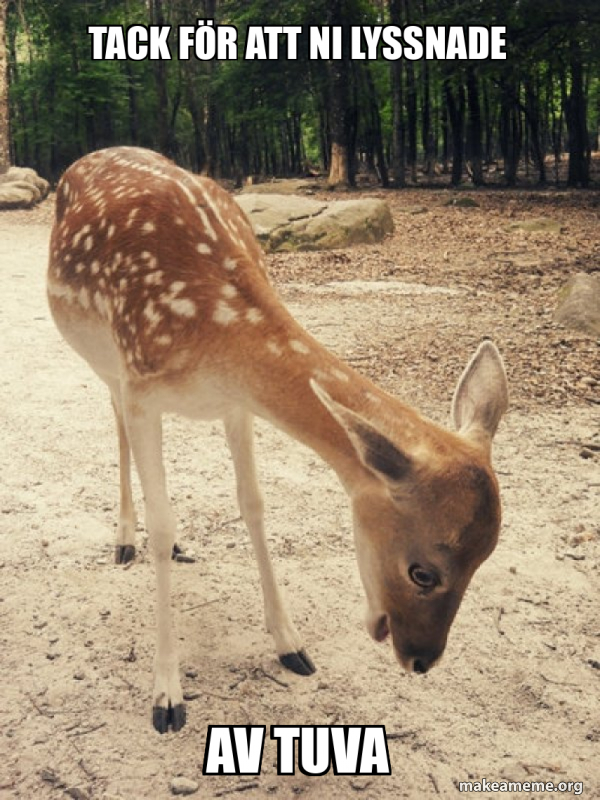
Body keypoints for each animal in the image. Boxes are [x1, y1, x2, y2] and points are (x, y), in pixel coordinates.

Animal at [47, 147, 508, 734]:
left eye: (485, 559)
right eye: (422, 572)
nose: (421, 659)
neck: (213, 333)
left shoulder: (237, 404)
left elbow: (254, 504)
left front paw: (291, 645)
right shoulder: (140, 388)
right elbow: (163, 518)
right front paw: (167, 695)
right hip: (104, 362)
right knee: (116, 425)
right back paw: (125, 539)